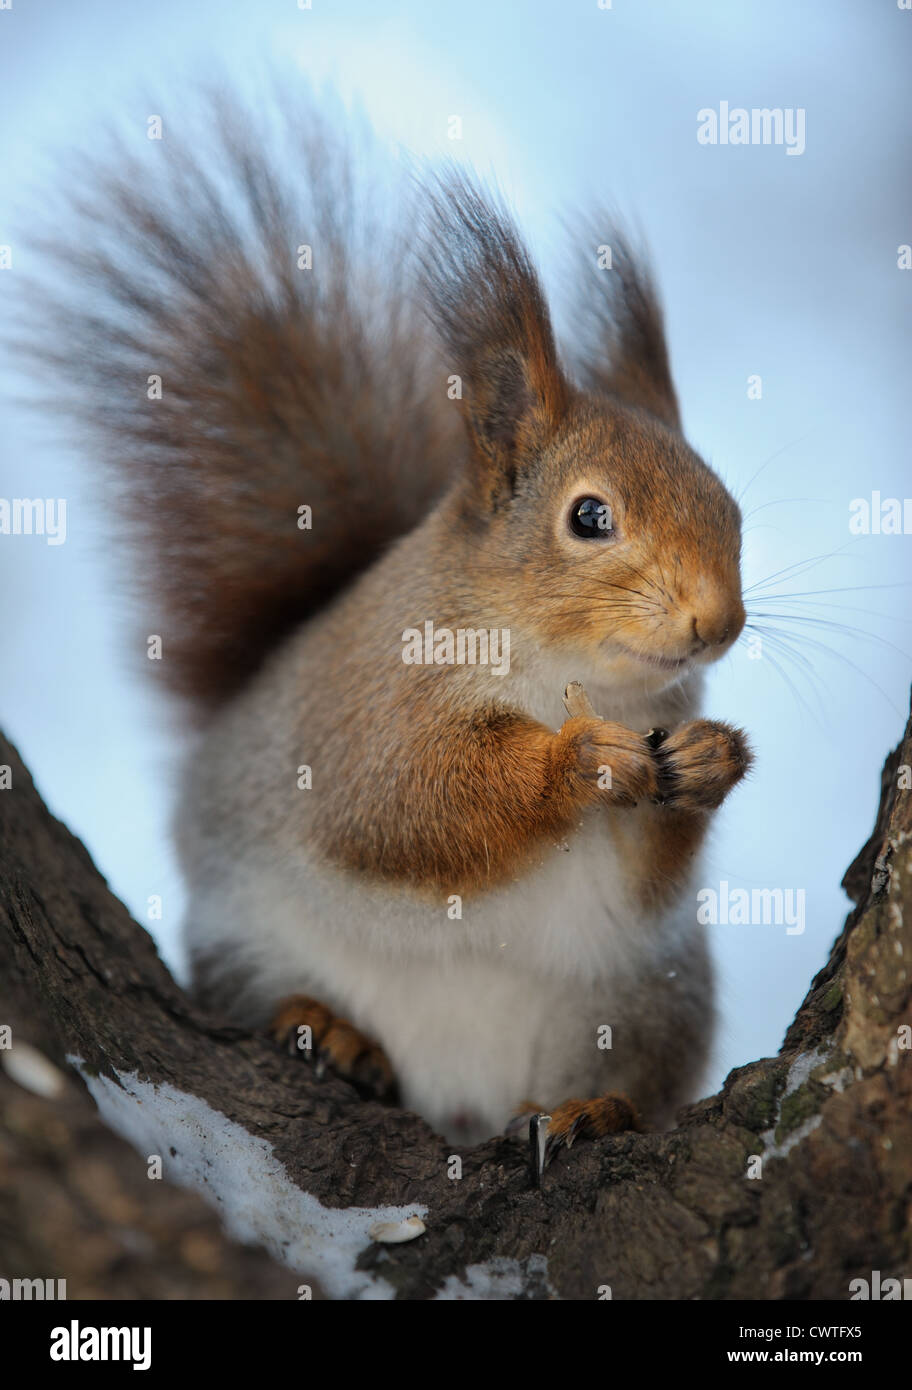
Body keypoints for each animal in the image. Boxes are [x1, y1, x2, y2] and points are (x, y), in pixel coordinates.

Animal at [26, 93, 752, 1161]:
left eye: (732, 508)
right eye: (589, 517)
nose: (718, 622)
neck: (575, 674)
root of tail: (460, 1102)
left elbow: (642, 881)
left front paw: (707, 760)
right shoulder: (365, 703)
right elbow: (403, 801)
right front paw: (576, 761)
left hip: (645, 1000)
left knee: (626, 1074)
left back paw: (586, 1111)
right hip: (251, 937)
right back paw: (326, 1029)